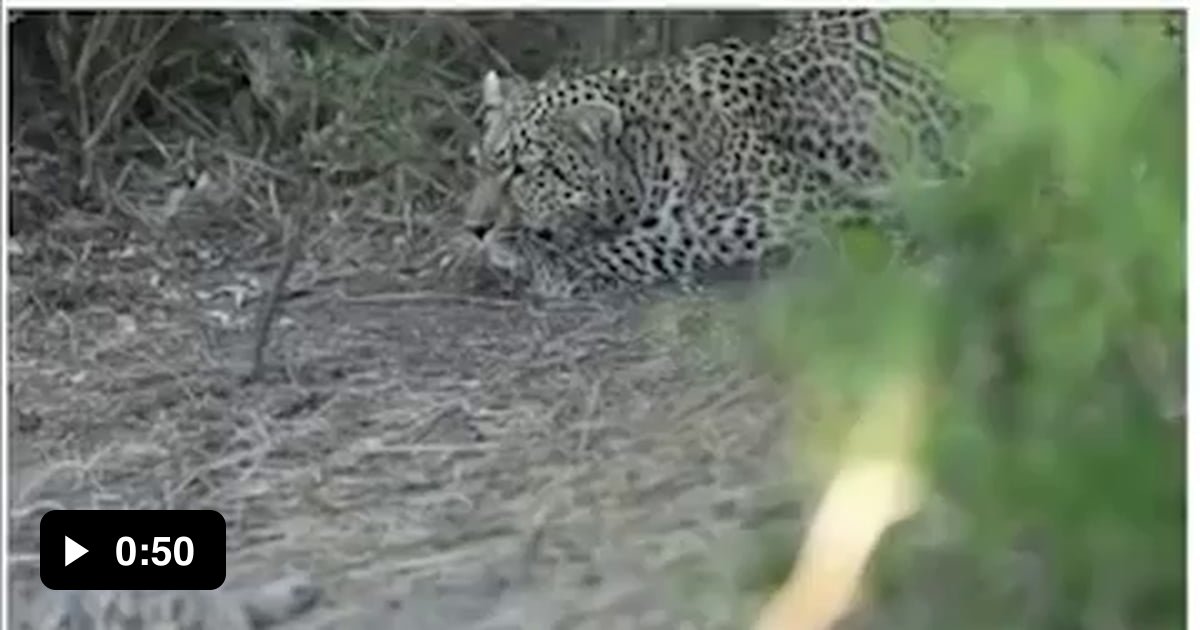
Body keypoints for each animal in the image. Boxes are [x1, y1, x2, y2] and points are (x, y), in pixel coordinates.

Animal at [463, 10, 967, 298]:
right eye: (483, 165)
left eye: (524, 171)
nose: (474, 230)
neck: (651, 150)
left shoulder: (791, 209)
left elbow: (661, 239)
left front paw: (557, 267)